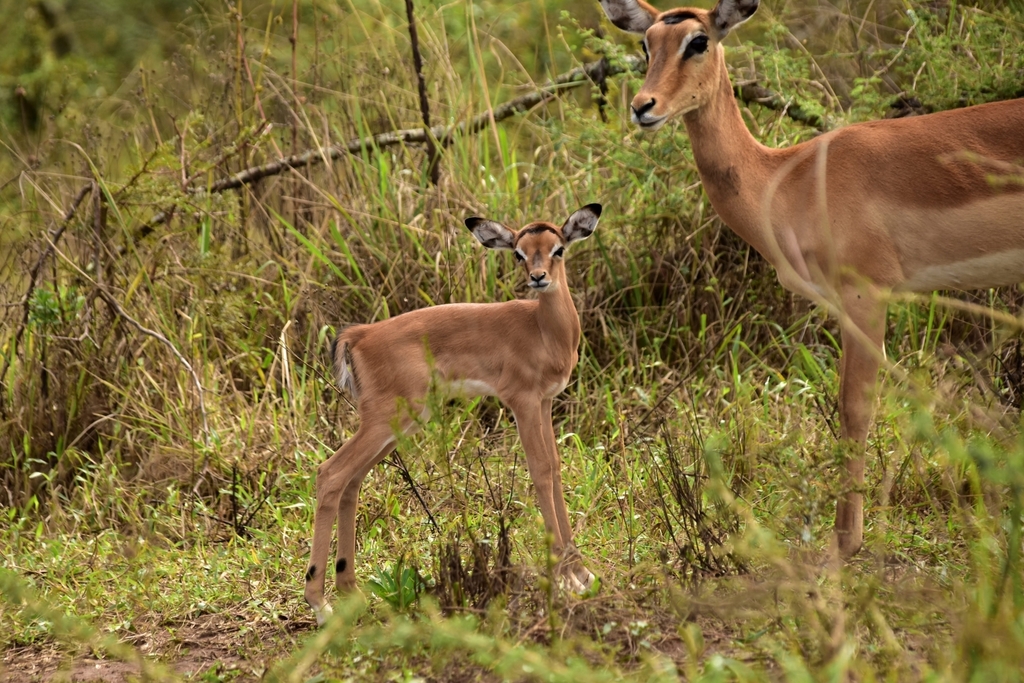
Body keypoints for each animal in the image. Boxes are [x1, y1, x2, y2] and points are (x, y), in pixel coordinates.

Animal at [304, 205, 601, 624]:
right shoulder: (523, 401)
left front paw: (582, 573)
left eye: (558, 249)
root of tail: (360, 335)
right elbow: (541, 472)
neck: (543, 331)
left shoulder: (544, 402)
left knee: (351, 482)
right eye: (519, 254)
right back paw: (321, 604)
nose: (538, 278)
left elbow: (556, 469)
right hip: (385, 421)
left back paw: (352, 592)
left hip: (395, 427)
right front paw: (567, 580)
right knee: (330, 473)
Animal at [599, 0, 1024, 558]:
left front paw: (844, 543)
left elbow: (855, 409)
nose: (643, 106)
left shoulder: (867, 294)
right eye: (645, 43)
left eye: (699, 41)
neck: (789, 180)